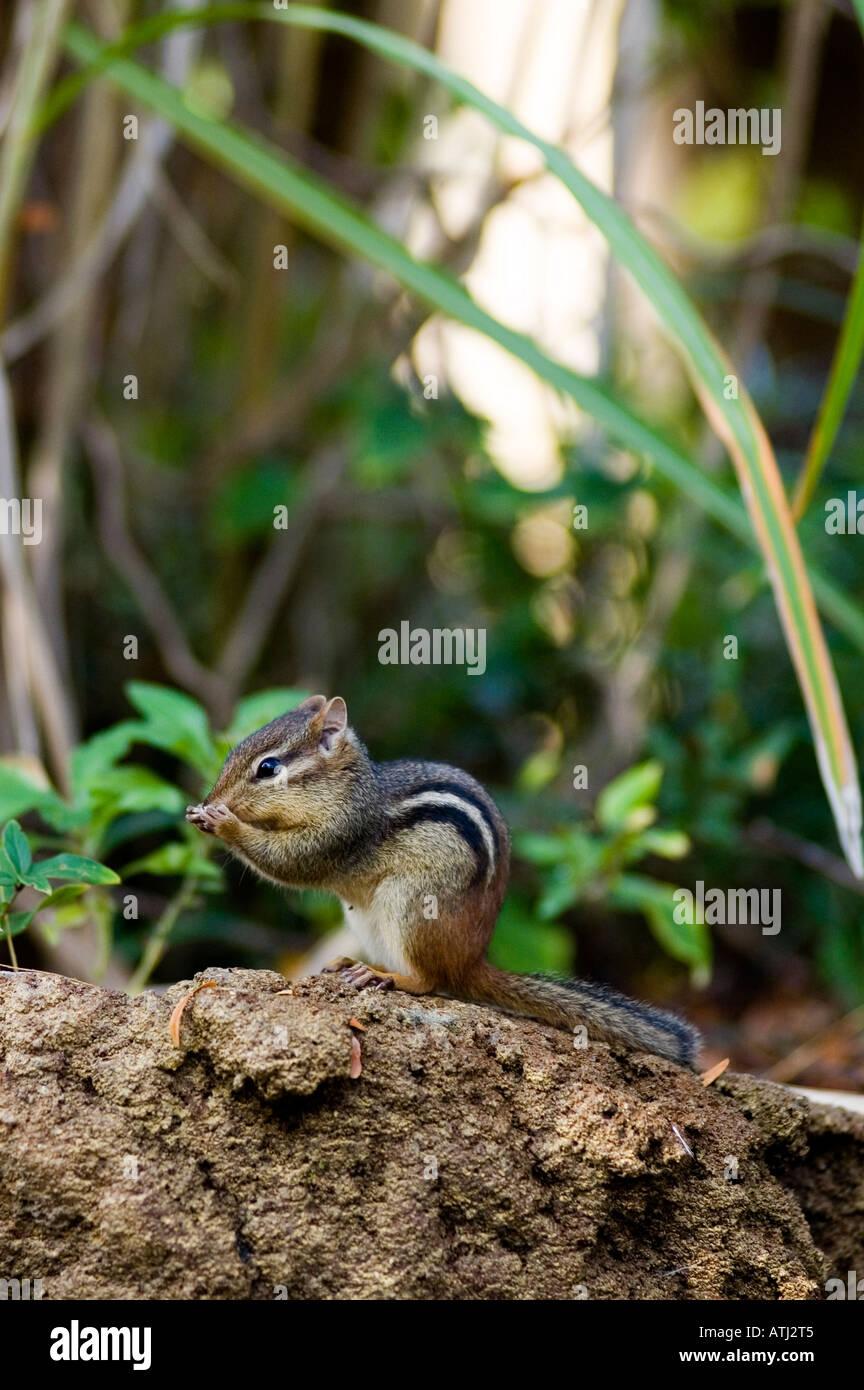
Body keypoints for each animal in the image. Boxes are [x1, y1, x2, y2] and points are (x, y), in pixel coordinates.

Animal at [186, 694, 700, 1068]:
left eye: (268, 768)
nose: (212, 797)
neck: (350, 788)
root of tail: (471, 960)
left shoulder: (343, 832)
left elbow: (292, 863)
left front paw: (223, 821)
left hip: (410, 903)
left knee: (431, 983)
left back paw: (387, 976)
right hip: (365, 918)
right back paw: (352, 964)